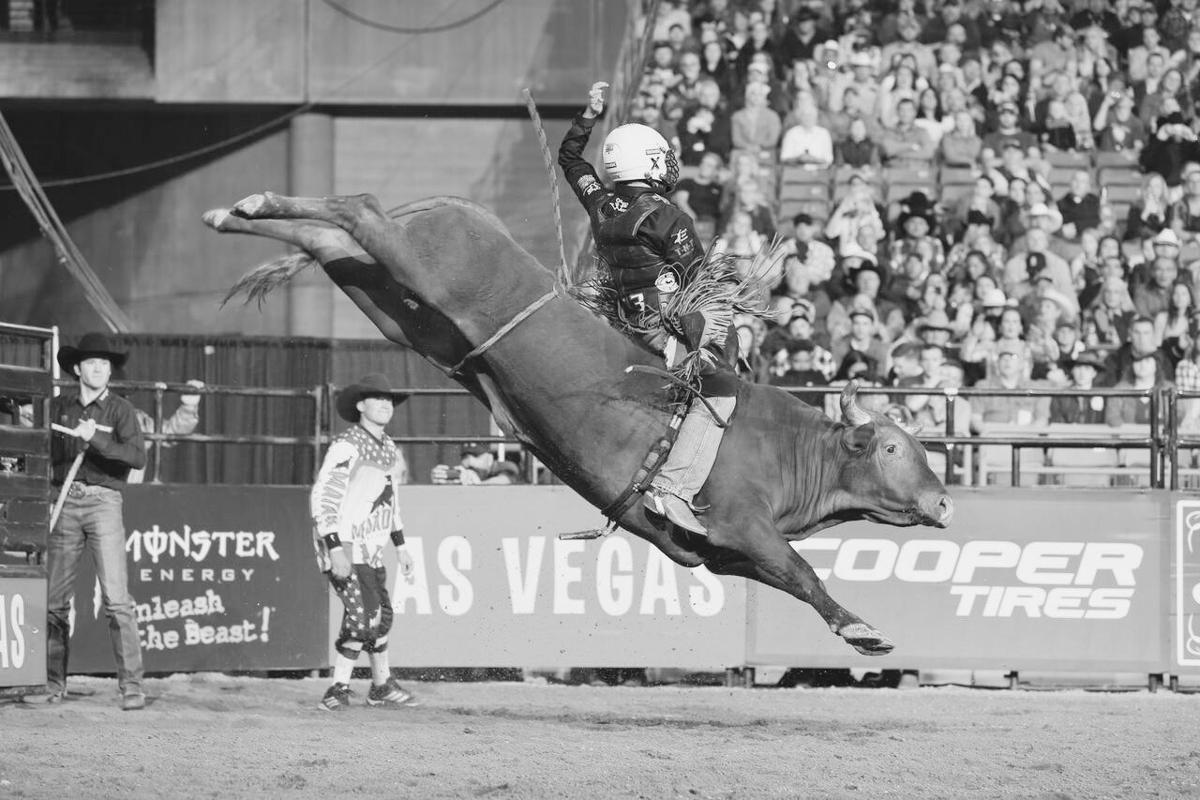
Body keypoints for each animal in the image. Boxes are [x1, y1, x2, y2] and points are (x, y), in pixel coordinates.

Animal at [204, 192, 953, 655]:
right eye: (892, 447)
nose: (944, 501)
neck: (793, 449)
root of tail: (460, 212)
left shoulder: (719, 552)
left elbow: (785, 577)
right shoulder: (743, 523)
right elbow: (803, 573)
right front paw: (862, 632)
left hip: (399, 307)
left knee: (333, 239)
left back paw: (241, 211)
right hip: (418, 270)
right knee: (356, 211)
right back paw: (250, 206)